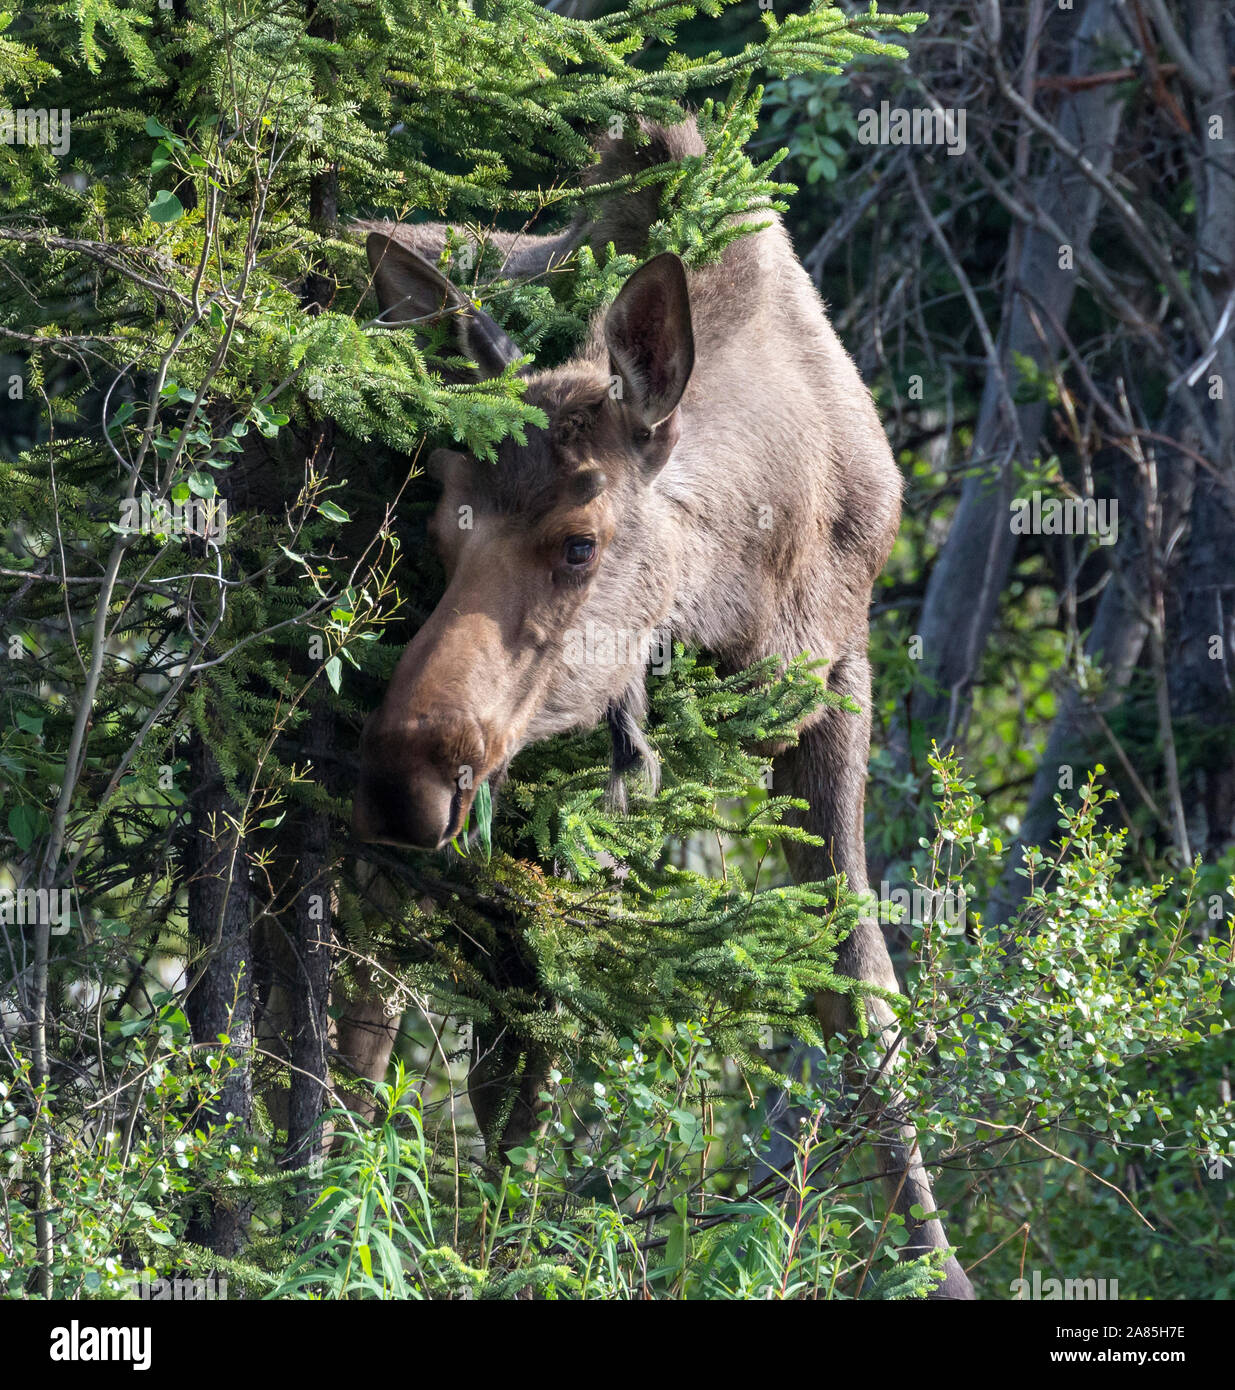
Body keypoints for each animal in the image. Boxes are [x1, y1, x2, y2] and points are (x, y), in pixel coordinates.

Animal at [347, 116, 975, 1299]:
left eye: (578, 543)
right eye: (442, 532)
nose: (406, 774)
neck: (748, 574)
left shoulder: (838, 683)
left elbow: (860, 992)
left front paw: (937, 1267)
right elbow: (520, 1052)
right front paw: (502, 1252)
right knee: (370, 992)